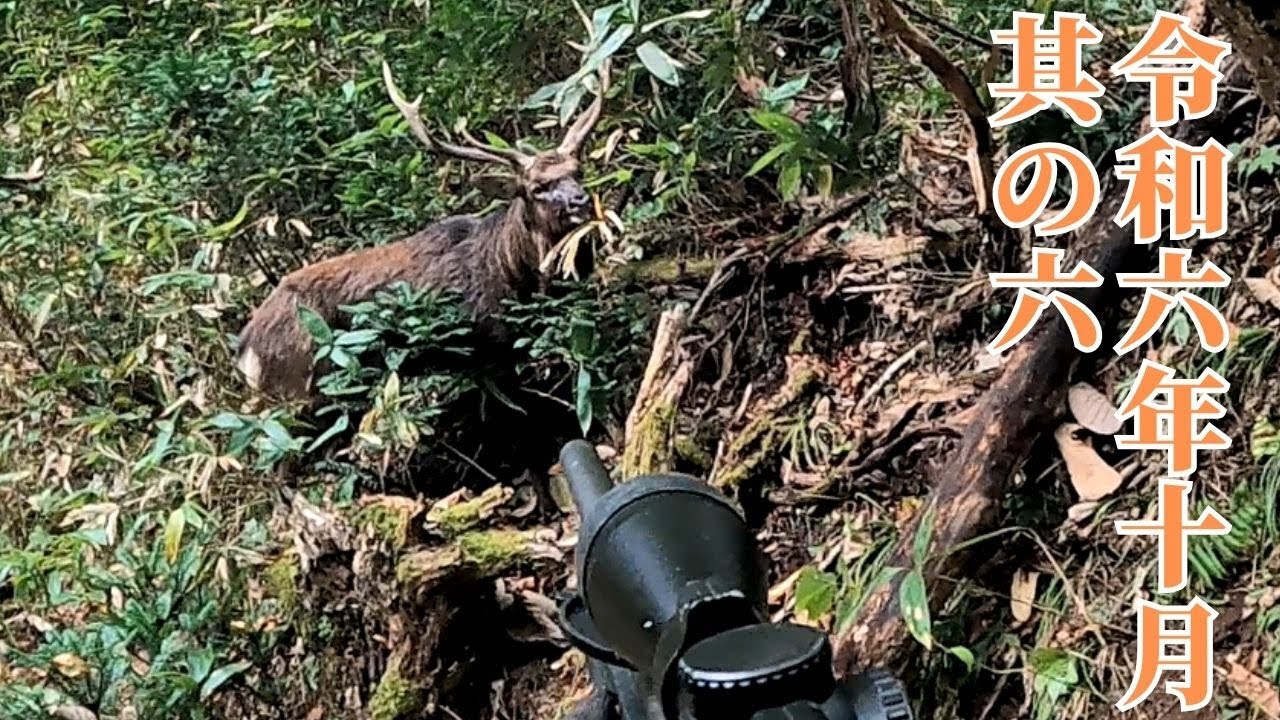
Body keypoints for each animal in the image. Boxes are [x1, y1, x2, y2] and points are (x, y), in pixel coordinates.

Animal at [234, 60, 610, 401]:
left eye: (578, 170)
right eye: (537, 187)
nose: (581, 201)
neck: (517, 275)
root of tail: (244, 349)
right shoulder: (491, 344)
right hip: (303, 382)